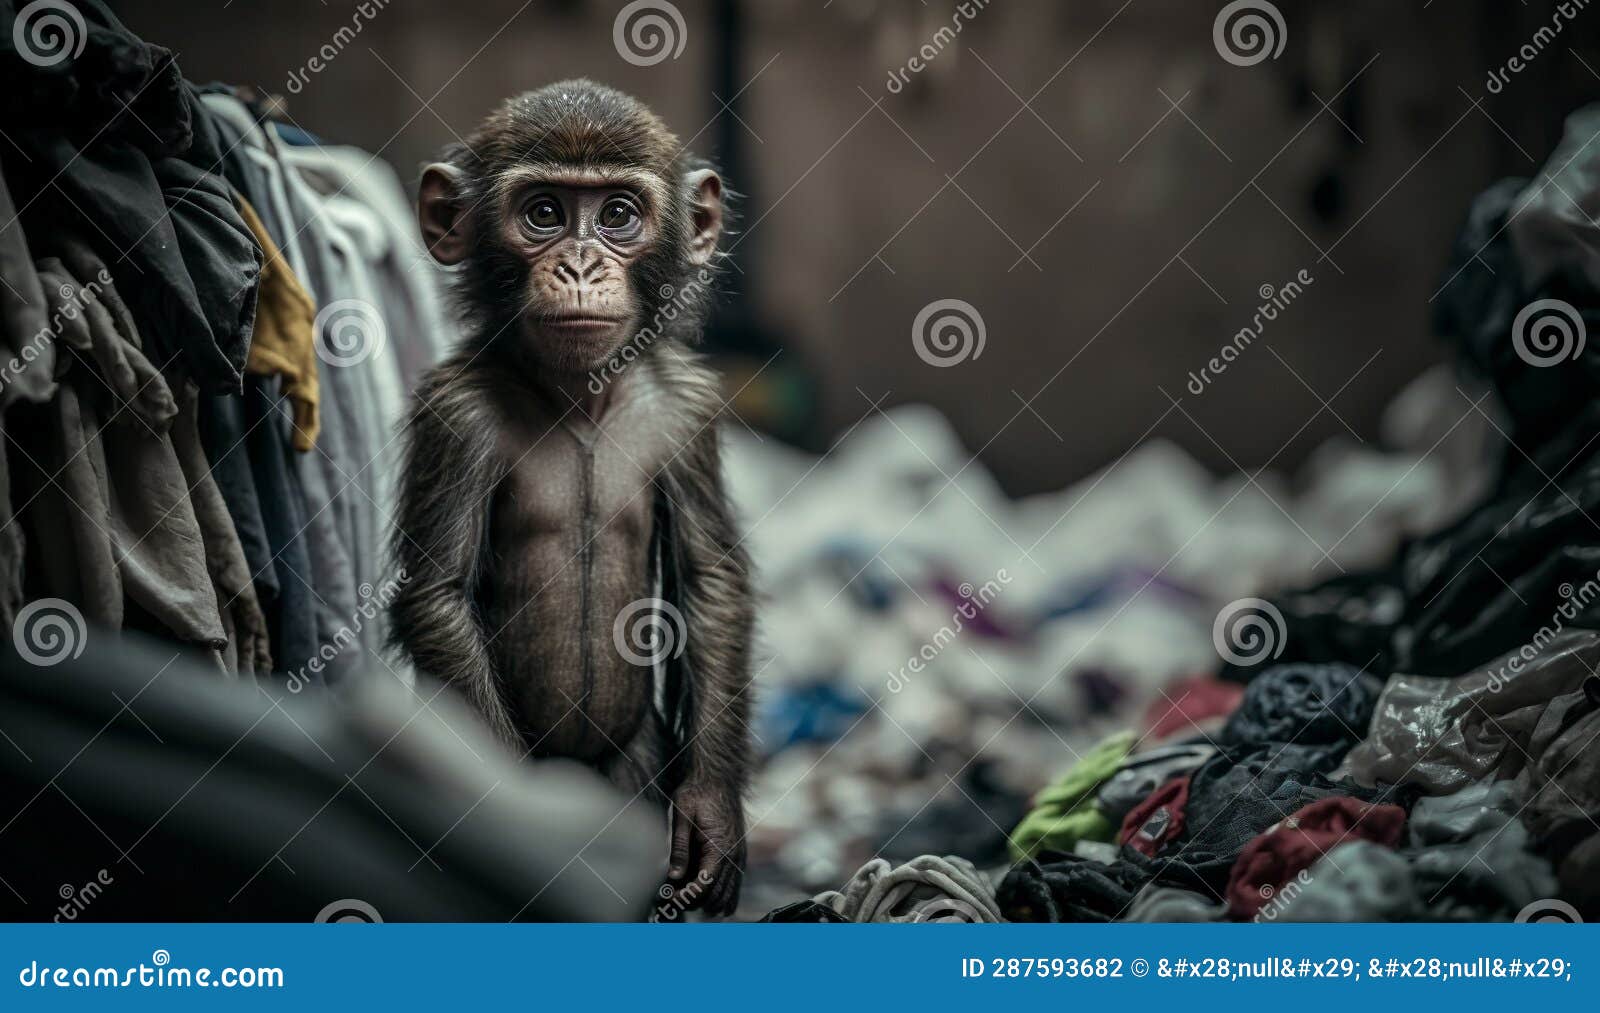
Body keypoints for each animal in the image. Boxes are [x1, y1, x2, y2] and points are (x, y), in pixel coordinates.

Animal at [387, 80, 753, 916]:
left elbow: (709, 578)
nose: (581, 262)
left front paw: (714, 811)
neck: (580, 397)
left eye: (617, 214)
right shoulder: (453, 414)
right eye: (545, 212)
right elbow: (437, 593)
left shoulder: (690, 409)